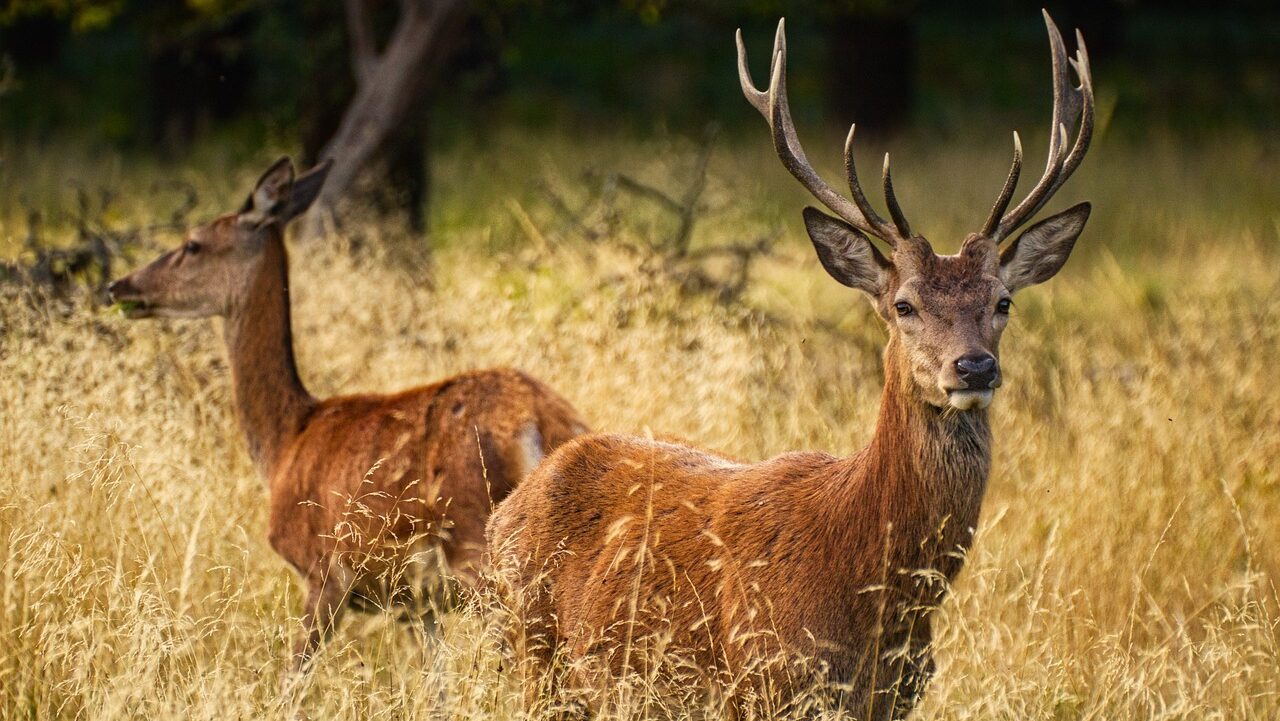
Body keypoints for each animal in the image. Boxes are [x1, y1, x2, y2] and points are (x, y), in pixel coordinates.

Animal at [106, 157, 587, 674]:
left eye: (193, 243)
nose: (118, 285)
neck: (285, 442)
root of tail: (539, 422)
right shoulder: (414, 604)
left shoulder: (324, 572)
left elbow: (292, 678)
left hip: (477, 545)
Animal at [487, 11, 1094, 720]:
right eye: (904, 305)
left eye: (1003, 301)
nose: (972, 368)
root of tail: (508, 510)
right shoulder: (766, 680)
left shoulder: (898, 697)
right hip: (529, 658)